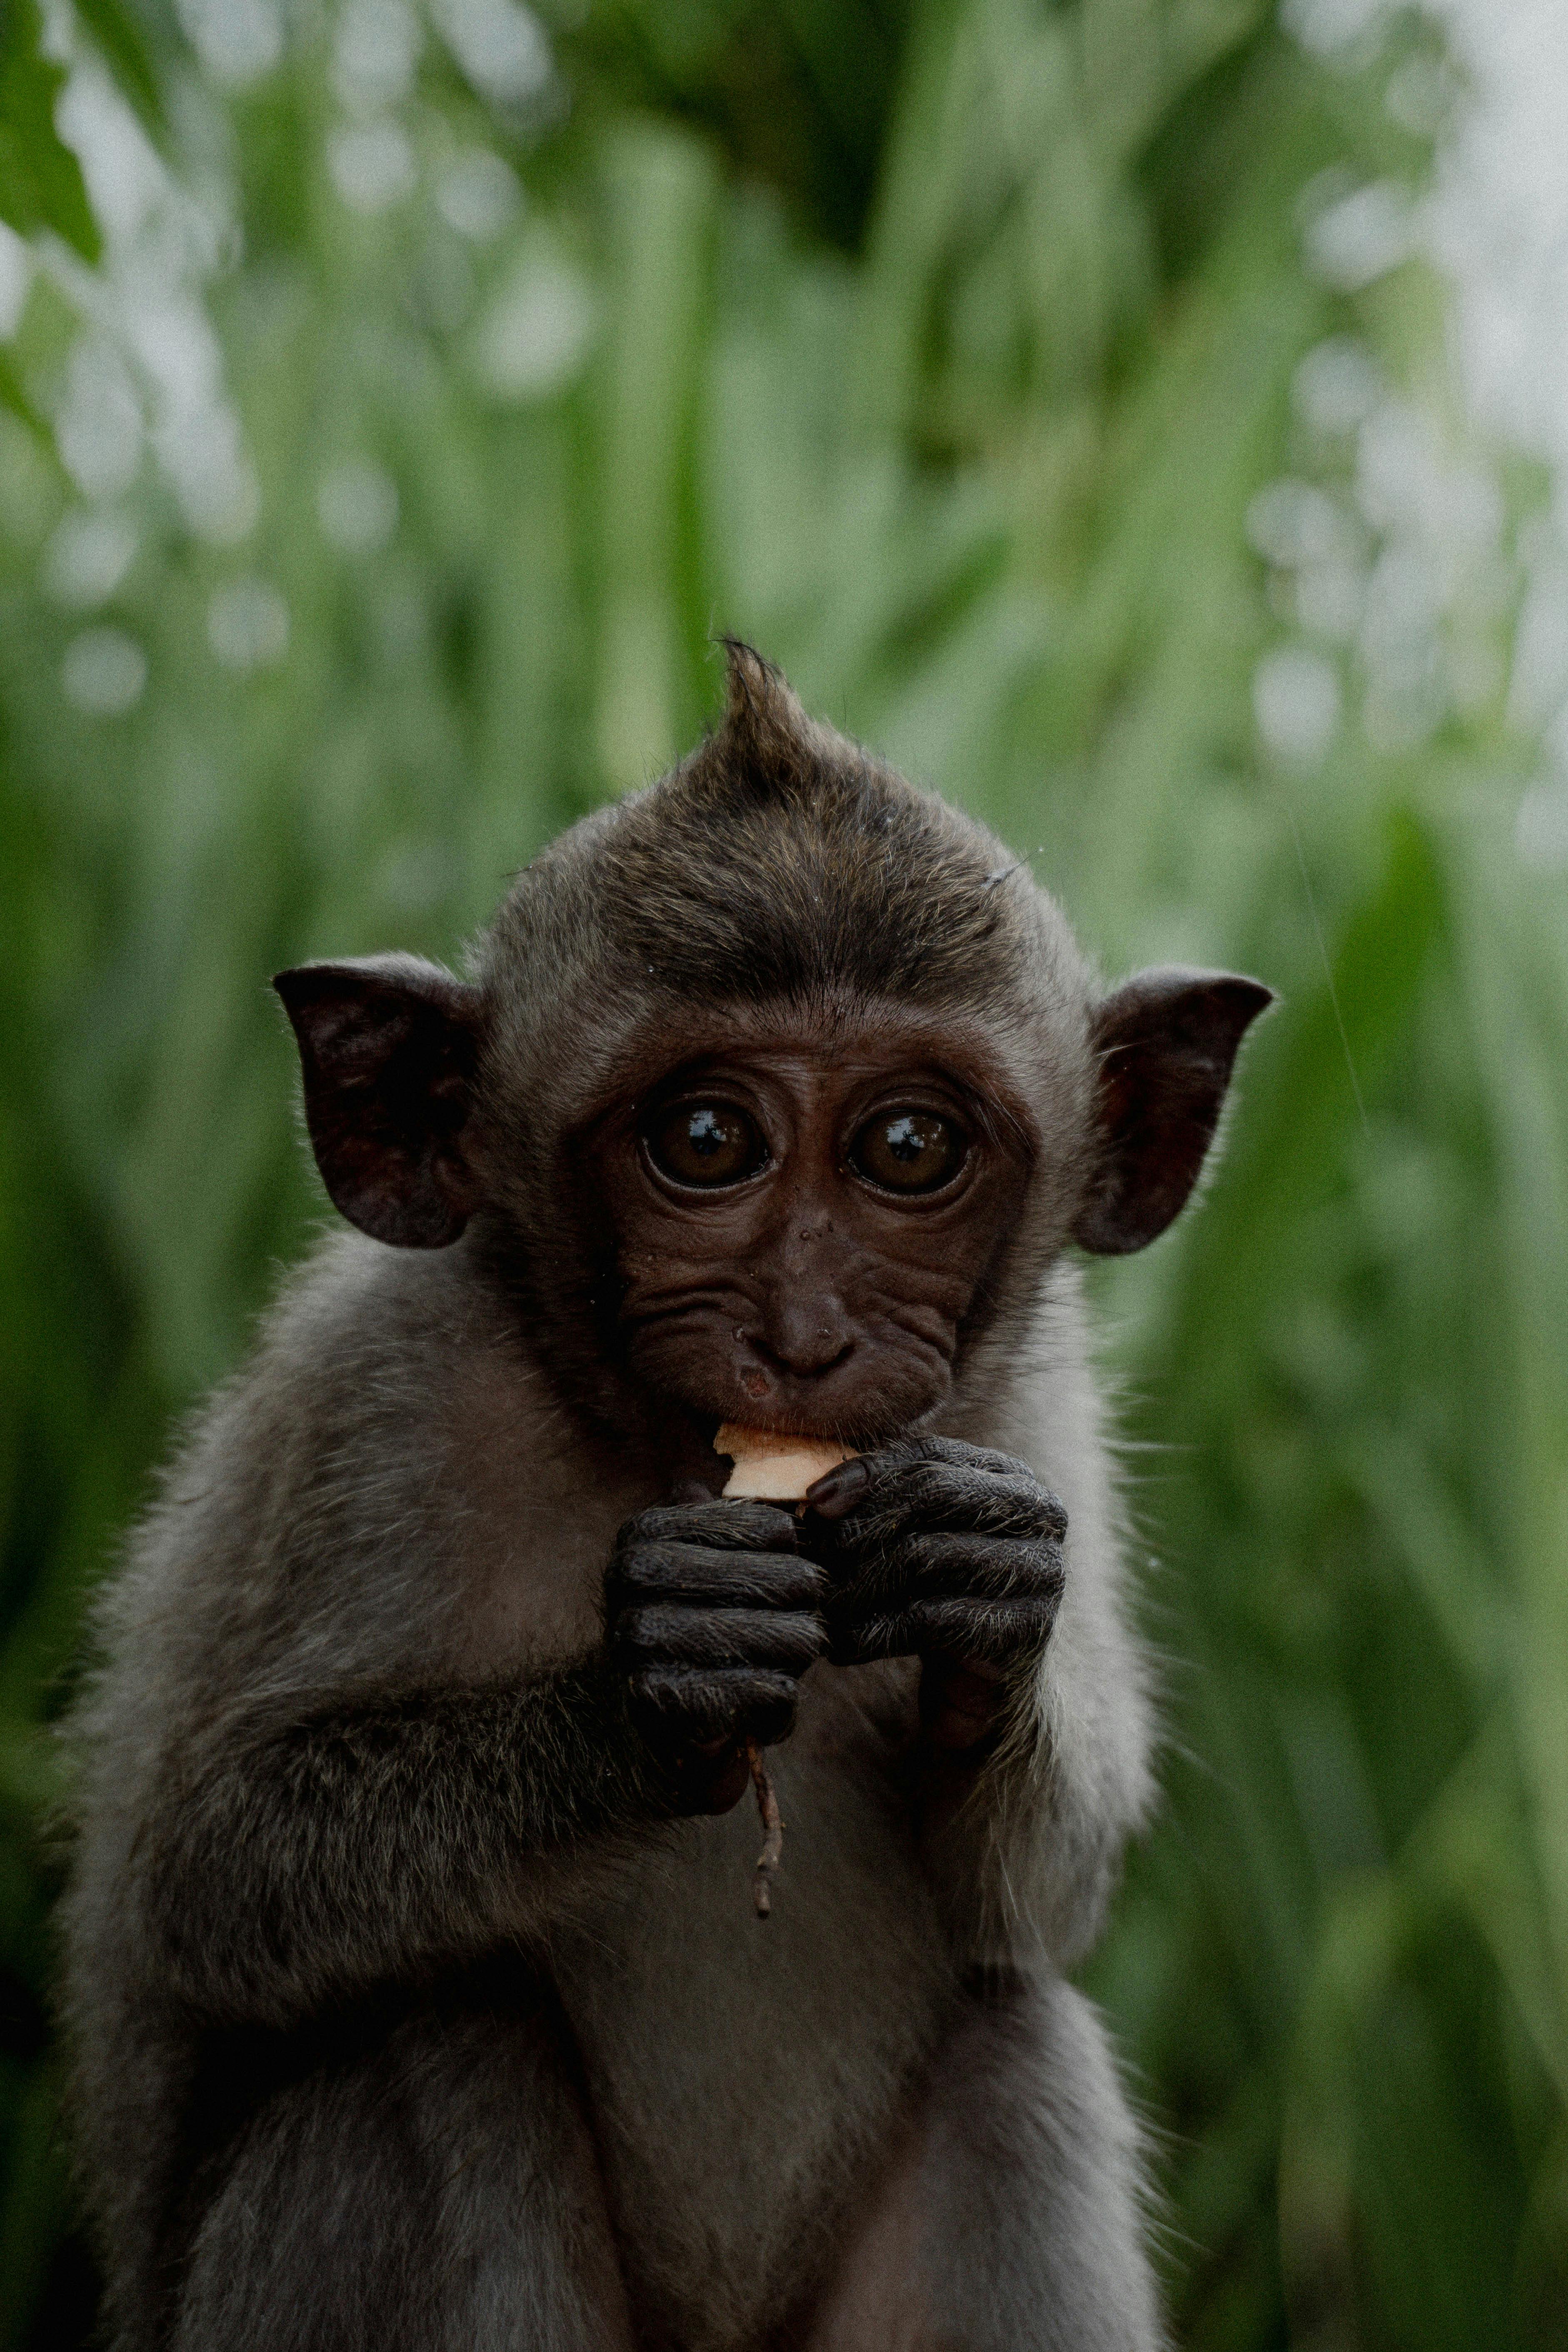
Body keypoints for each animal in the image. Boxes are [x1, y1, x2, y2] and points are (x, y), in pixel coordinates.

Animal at [59, 643, 1271, 2352]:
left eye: (911, 1146)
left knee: (1011, 2047)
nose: (803, 1333)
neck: (647, 1448)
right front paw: (647, 1691)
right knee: (422, 2038)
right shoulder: (373, 1398)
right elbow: (201, 1877)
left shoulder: (1042, 1412)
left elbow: (1044, 1903)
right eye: (705, 1140)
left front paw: (980, 1594)